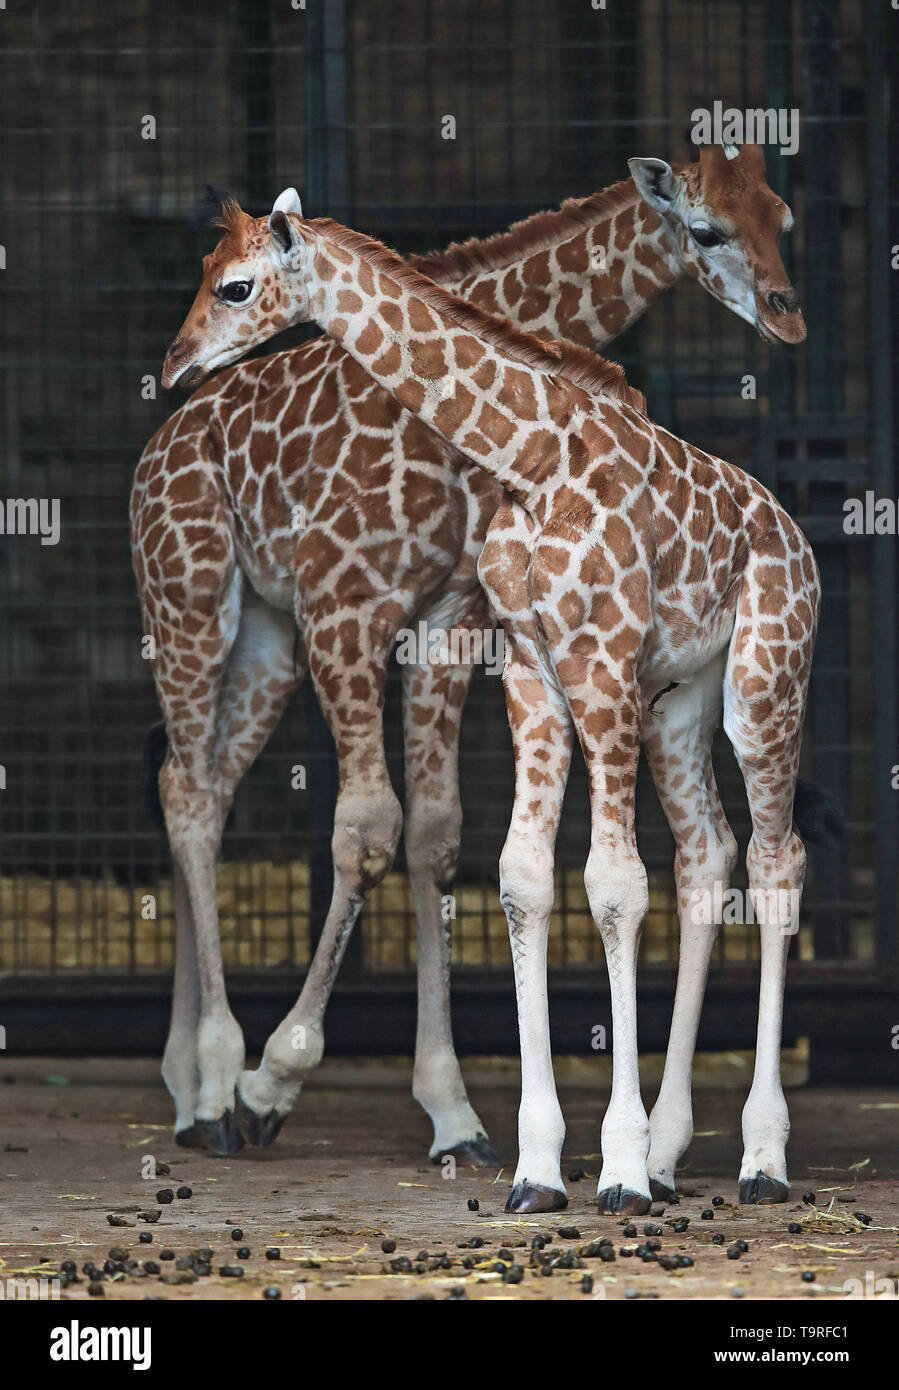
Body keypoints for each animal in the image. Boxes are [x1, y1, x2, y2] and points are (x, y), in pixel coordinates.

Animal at [136, 144, 804, 1161]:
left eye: (779, 217)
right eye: (705, 229)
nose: (786, 313)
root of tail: (156, 451)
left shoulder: (447, 622)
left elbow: (441, 836)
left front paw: (445, 1110)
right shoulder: (354, 608)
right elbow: (383, 829)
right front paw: (276, 1079)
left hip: (268, 641)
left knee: (196, 781)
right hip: (196, 604)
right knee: (189, 792)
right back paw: (207, 1083)